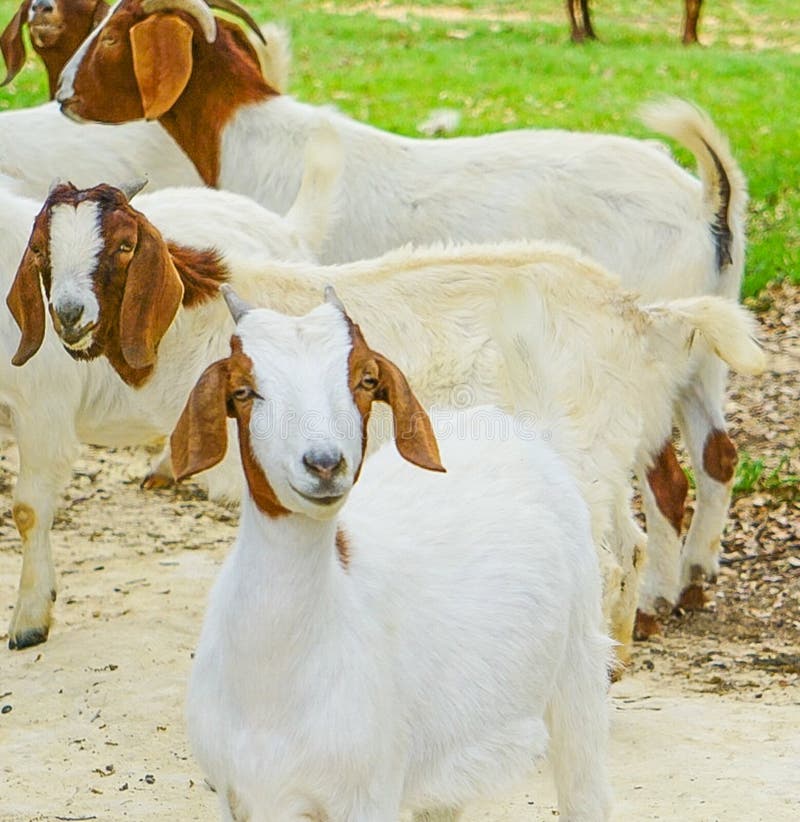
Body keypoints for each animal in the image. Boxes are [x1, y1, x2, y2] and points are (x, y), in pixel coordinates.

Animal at [0, 124, 340, 650]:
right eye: (39, 250)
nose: (68, 316)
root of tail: (289, 229)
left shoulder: (41, 407)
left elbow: (27, 509)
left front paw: (29, 620)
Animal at [6, 172, 765, 656]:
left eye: (123, 247)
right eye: (42, 252)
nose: (70, 316)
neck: (202, 321)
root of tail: (637, 314)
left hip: (582, 446)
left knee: (608, 554)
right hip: (602, 452)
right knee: (628, 544)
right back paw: (618, 654)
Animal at [177, 286, 614, 822]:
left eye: (366, 380)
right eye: (242, 391)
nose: (324, 464)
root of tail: (520, 429)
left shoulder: (370, 789)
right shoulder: (235, 796)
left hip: (579, 663)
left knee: (586, 787)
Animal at [566, 0, 704, 45]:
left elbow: (694, 8)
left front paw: (692, 40)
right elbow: (693, 8)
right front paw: (691, 41)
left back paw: (591, 36)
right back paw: (578, 38)